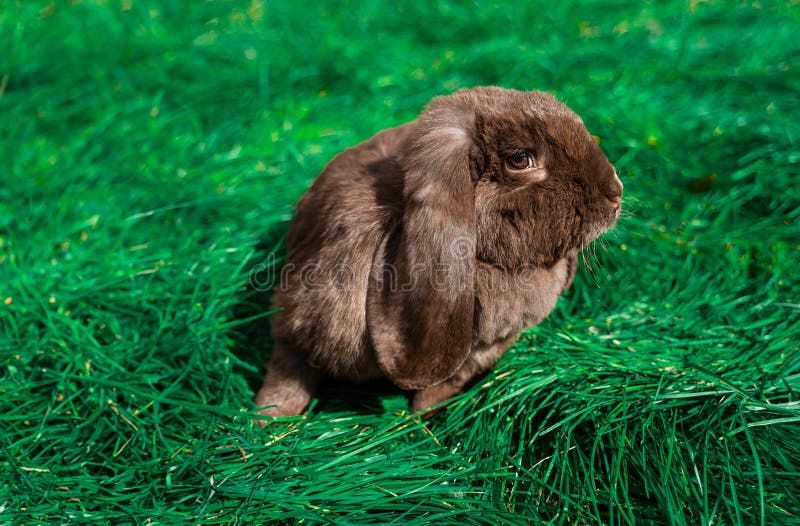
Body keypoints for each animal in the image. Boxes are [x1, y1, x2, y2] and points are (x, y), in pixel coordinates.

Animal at [254, 86, 622, 419]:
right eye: (520, 159)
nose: (616, 194)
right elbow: (290, 367)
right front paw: (268, 419)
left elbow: (446, 382)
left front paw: (423, 414)